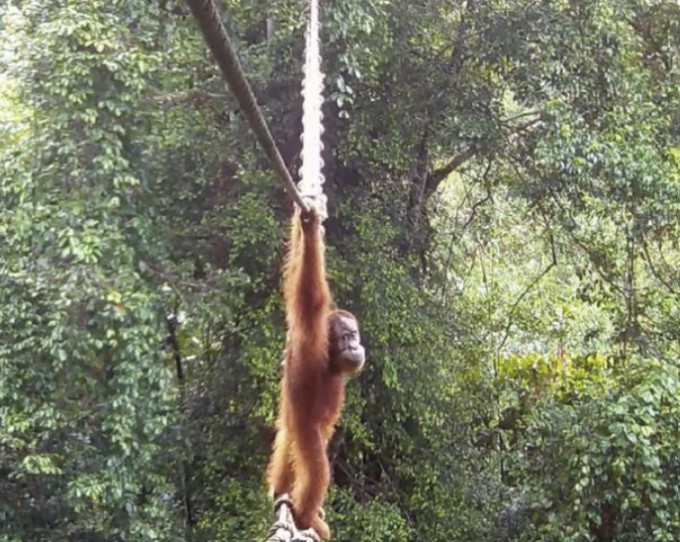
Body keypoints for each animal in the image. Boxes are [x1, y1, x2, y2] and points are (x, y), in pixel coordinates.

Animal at [266, 203, 365, 540]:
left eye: (355, 335)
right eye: (346, 337)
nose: (355, 346)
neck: (330, 360)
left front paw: (306, 227)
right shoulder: (312, 335)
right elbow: (310, 294)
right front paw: (309, 229)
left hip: (291, 430)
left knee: (286, 447)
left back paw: (280, 495)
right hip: (304, 433)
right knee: (317, 468)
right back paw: (305, 516)